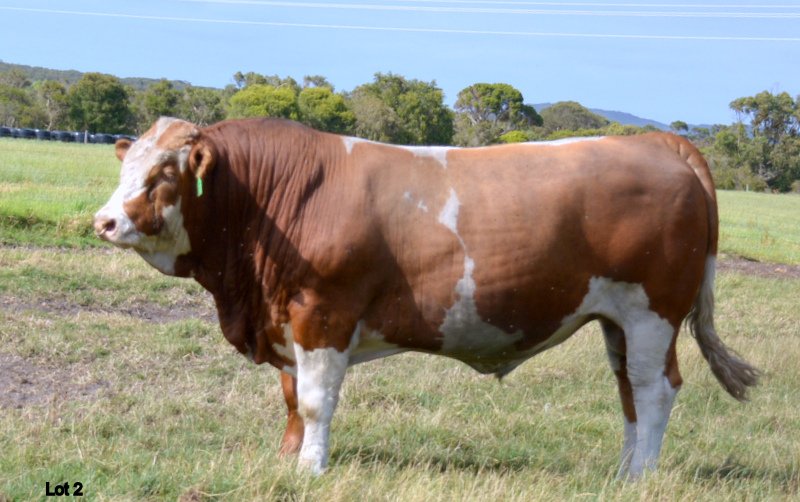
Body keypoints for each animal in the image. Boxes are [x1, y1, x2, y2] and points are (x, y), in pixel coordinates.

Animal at [94, 117, 759, 478]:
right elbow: (289, 399)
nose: (103, 222)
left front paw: (310, 468)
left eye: (165, 175)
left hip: (652, 313)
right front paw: (287, 460)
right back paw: (622, 470)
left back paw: (638, 476)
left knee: (655, 391)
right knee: (628, 393)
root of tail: (656, 142)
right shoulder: (285, 316)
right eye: (126, 169)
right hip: (617, 320)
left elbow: (314, 401)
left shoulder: (323, 312)